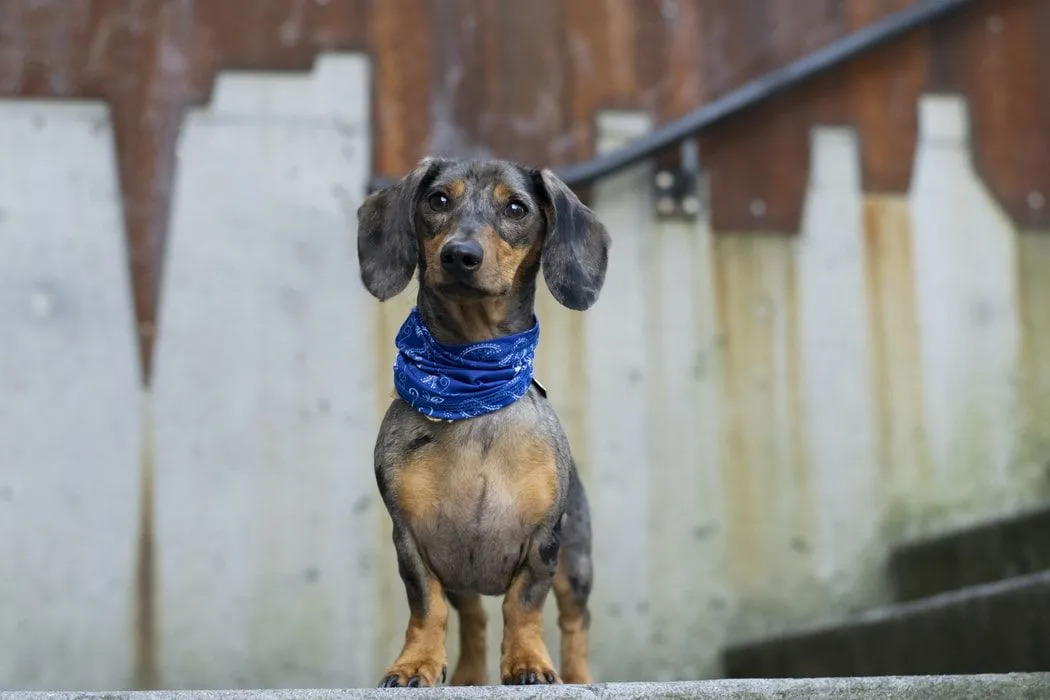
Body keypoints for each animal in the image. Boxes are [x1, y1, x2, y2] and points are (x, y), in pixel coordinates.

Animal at [356, 156, 613, 688]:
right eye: (438, 200)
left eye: (516, 208)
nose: (460, 255)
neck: (472, 383)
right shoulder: (411, 540)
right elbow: (427, 607)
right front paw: (415, 664)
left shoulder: (543, 542)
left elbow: (524, 605)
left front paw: (529, 662)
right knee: (472, 617)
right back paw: (469, 674)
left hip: (576, 561)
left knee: (575, 620)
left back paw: (578, 675)